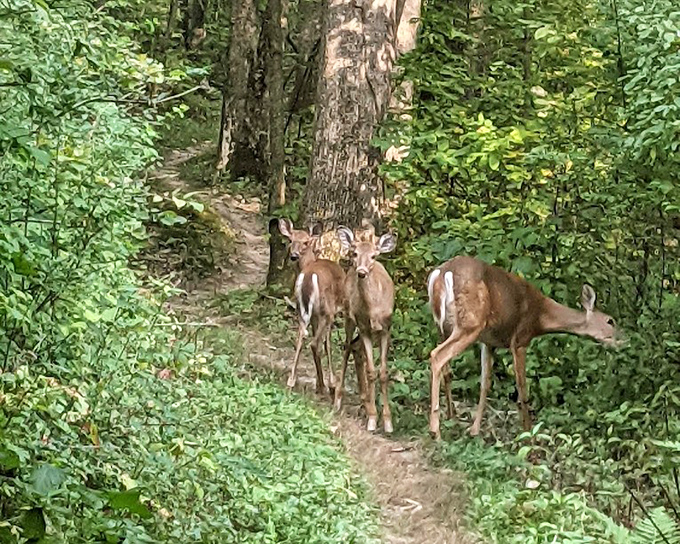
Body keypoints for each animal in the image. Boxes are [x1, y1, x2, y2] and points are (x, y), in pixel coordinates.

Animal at [278, 219, 346, 396]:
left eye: (305, 242)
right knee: (316, 344)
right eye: (290, 240)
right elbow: (327, 344)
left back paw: (291, 383)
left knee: (301, 337)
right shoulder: (330, 311)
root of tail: (309, 276)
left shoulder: (314, 315)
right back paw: (326, 386)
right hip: (326, 309)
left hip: (302, 309)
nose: (294, 255)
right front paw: (330, 384)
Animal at [335, 225, 397, 433]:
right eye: (354, 253)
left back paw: (364, 402)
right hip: (348, 316)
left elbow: (383, 373)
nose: (361, 271)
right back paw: (339, 398)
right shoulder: (364, 328)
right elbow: (371, 371)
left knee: (356, 349)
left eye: (373, 255)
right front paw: (372, 419)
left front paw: (387, 421)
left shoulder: (386, 329)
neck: (373, 309)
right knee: (347, 347)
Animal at [427, 255, 624, 439]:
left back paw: (451, 417)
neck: (541, 317)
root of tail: (442, 273)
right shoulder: (520, 339)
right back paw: (435, 430)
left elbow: (485, 383)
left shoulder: (488, 342)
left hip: (443, 327)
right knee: (437, 355)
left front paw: (474, 430)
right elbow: (522, 388)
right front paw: (529, 433)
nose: (623, 340)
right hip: (470, 323)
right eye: (610, 321)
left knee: (447, 369)